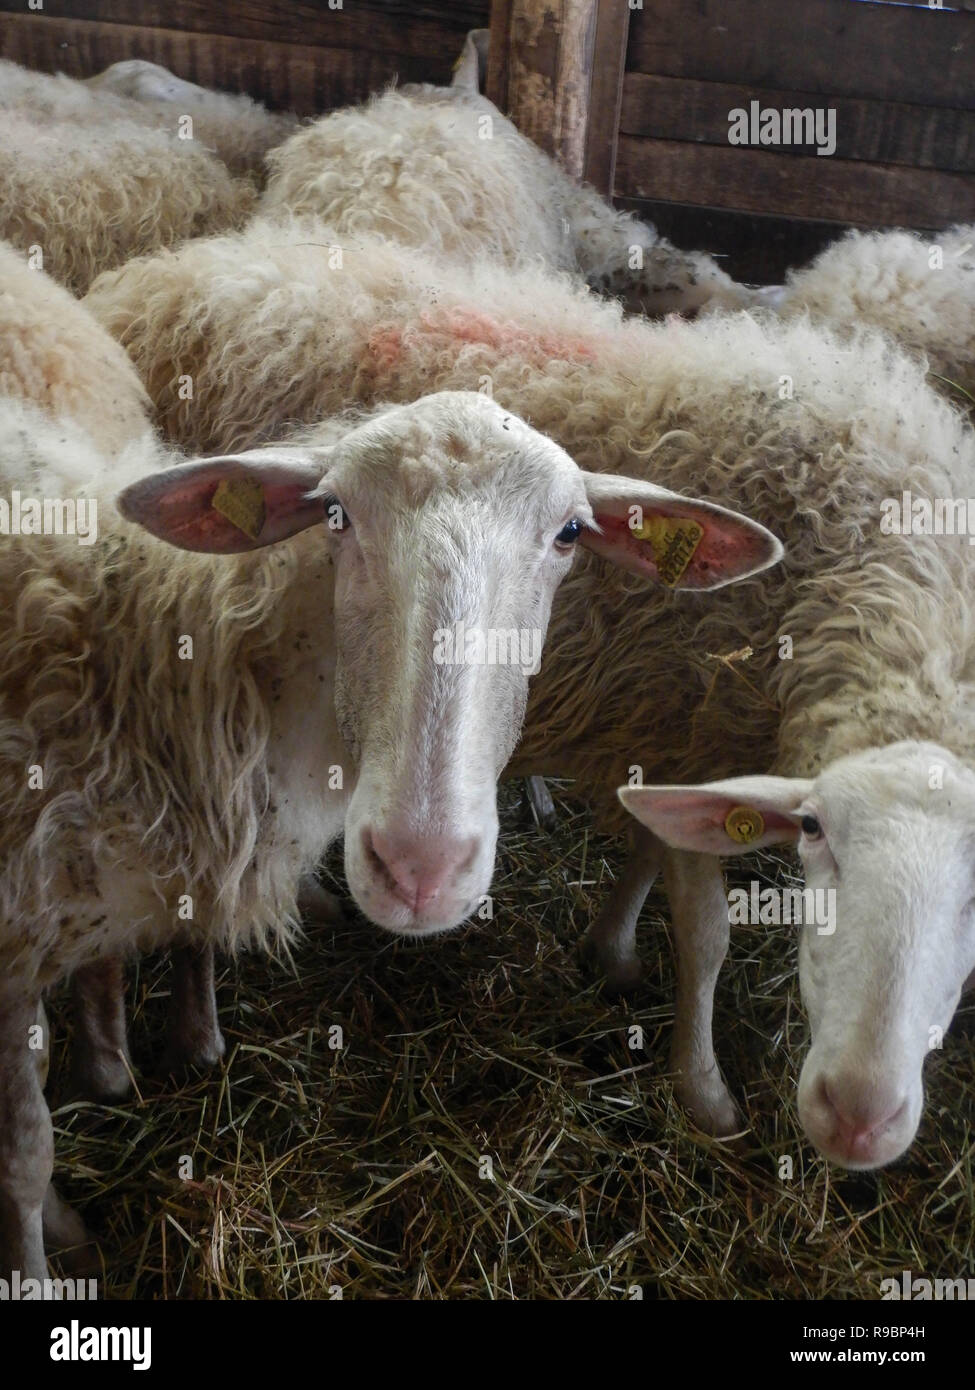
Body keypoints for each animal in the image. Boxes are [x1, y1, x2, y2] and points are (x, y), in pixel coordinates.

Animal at [84, 220, 975, 1170]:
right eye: (817, 841)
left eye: (570, 532)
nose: (859, 1117)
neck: (858, 560)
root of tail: (185, 260)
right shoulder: (689, 730)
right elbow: (705, 937)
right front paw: (703, 1092)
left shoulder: (663, 723)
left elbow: (647, 845)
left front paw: (612, 950)